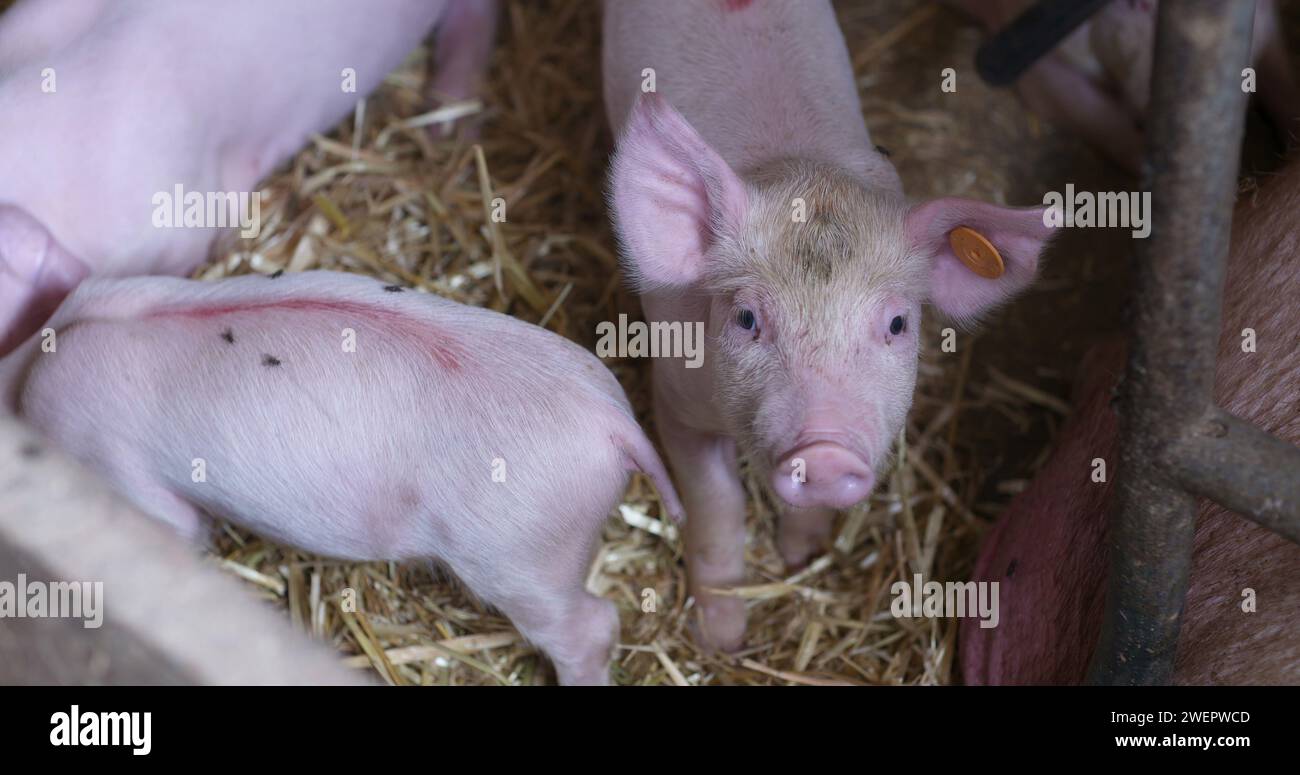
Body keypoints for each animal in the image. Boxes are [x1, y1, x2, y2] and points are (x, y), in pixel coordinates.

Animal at [603, 0, 1056, 650]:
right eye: (746, 317)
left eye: (898, 322)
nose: (824, 452)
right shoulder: (674, 394)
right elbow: (718, 501)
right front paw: (722, 638)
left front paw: (801, 557)